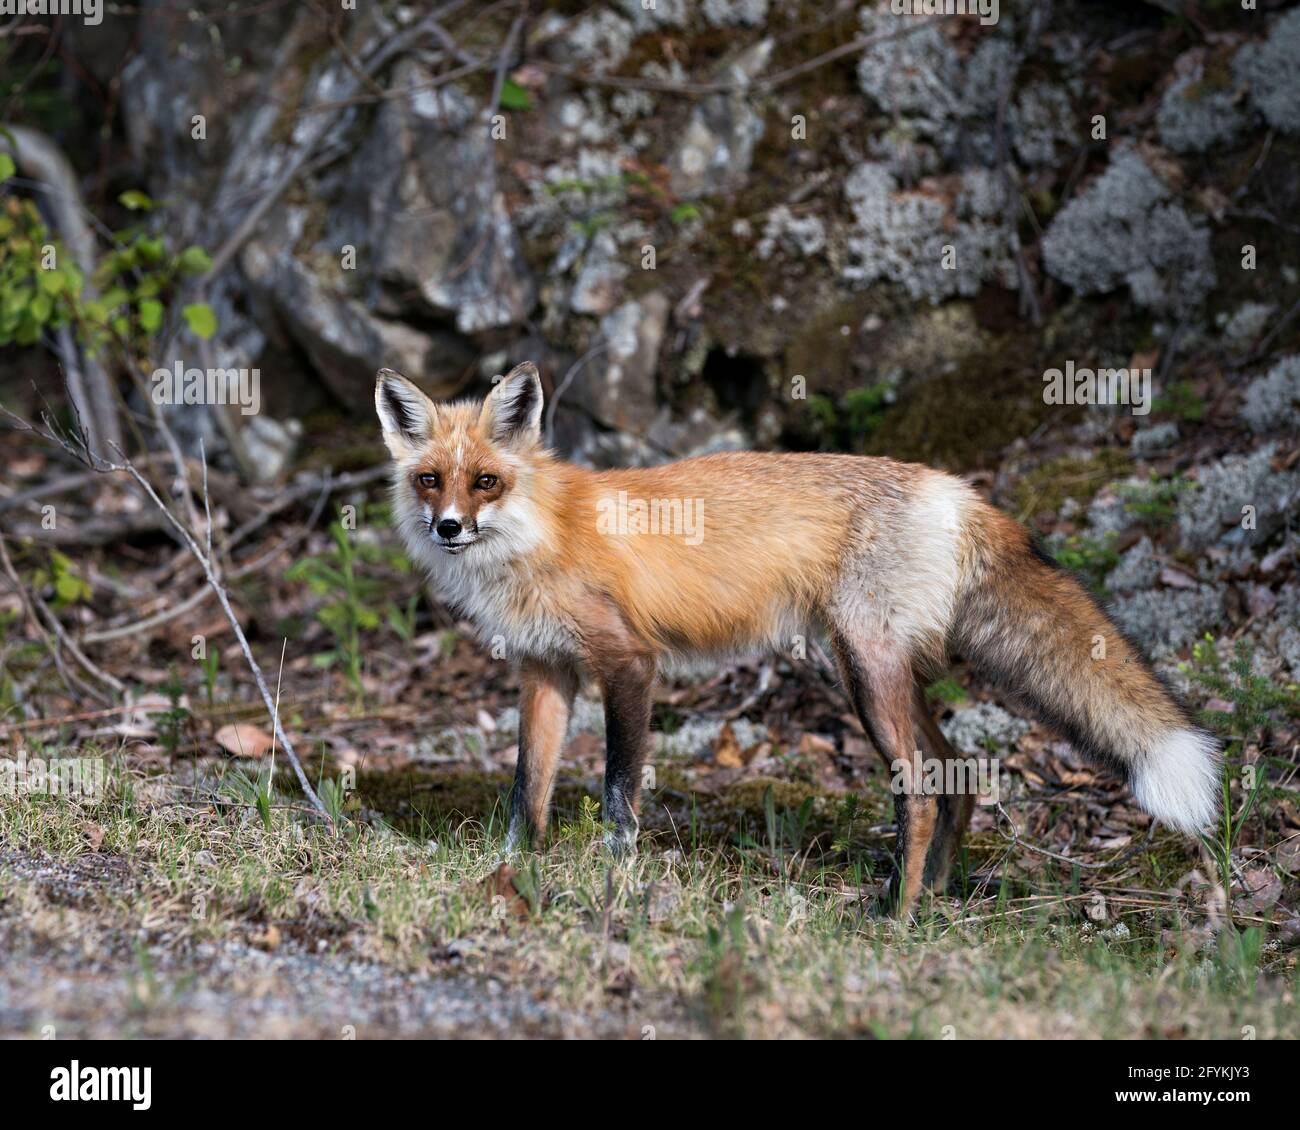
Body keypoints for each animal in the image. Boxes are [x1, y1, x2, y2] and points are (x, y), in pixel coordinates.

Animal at [375, 361, 1220, 915]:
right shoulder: (544, 670)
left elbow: (618, 797)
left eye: (486, 481)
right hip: (879, 671)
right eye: (430, 480)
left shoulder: (629, 664)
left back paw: (894, 916)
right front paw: (511, 874)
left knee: (920, 788)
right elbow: (529, 789)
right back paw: (934, 896)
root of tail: (957, 489)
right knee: (958, 776)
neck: (537, 535)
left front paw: (614, 883)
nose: (447, 528)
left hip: (864, 671)